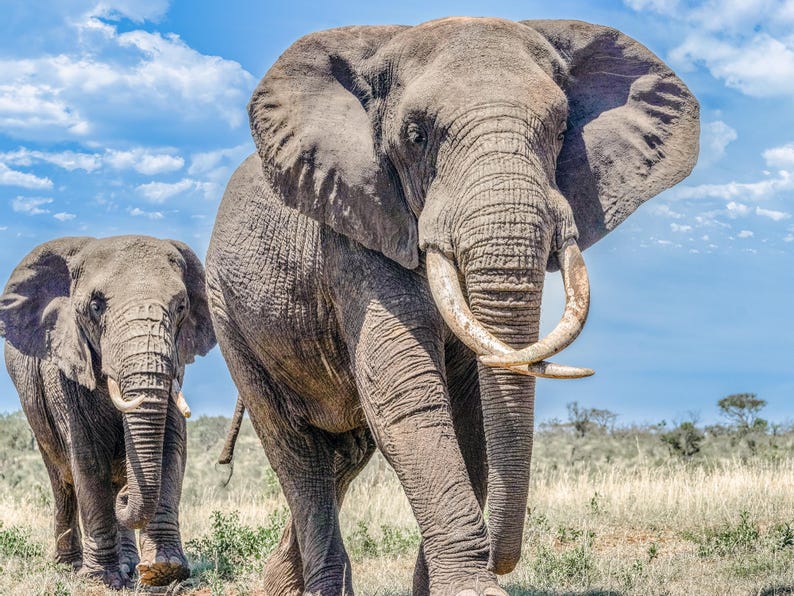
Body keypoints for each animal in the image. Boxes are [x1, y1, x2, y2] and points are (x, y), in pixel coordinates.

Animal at [0, 236, 216, 588]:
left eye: (181, 306)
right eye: (96, 306)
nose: (127, 497)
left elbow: (170, 448)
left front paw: (163, 570)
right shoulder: (65, 365)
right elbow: (88, 458)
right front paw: (101, 579)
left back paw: (128, 563)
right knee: (62, 482)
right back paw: (69, 566)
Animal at [206, 16, 699, 596]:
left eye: (560, 131)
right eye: (416, 136)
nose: (498, 558)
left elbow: (473, 412)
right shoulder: (354, 227)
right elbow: (406, 391)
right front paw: (473, 587)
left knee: (343, 455)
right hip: (229, 315)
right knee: (298, 454)